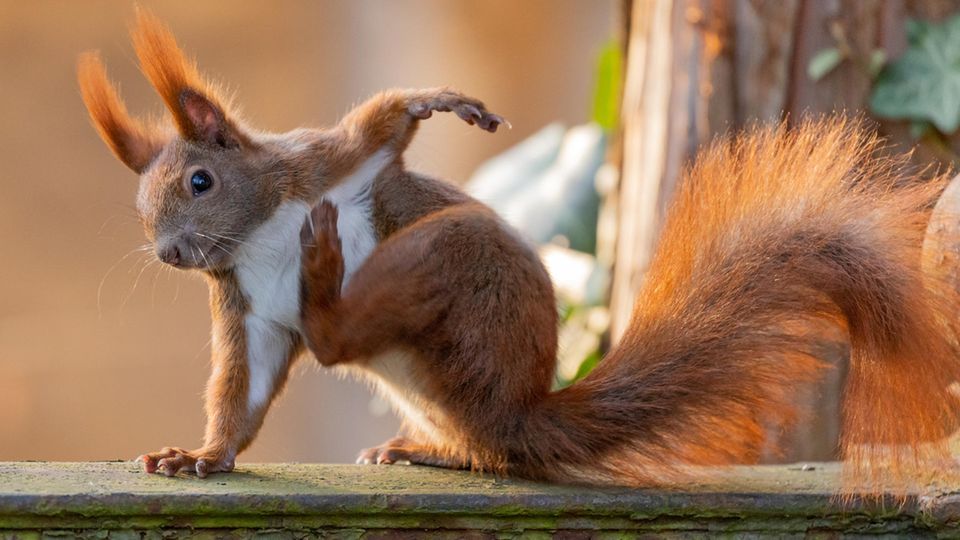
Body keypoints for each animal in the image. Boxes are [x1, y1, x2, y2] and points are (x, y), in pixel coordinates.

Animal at [79, 10, 960, 491]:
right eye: (141, 211)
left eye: (200, 181)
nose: (170, 254)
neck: (261, 229)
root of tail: (520, 407)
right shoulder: (251, 308)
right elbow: (244, 390)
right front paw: (201, 456)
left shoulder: (326, 162)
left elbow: (382, 122)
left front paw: (443, 102)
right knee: (476, 446)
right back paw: (425, 447)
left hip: (453, 262)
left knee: (356, 343)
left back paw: (328, 275)